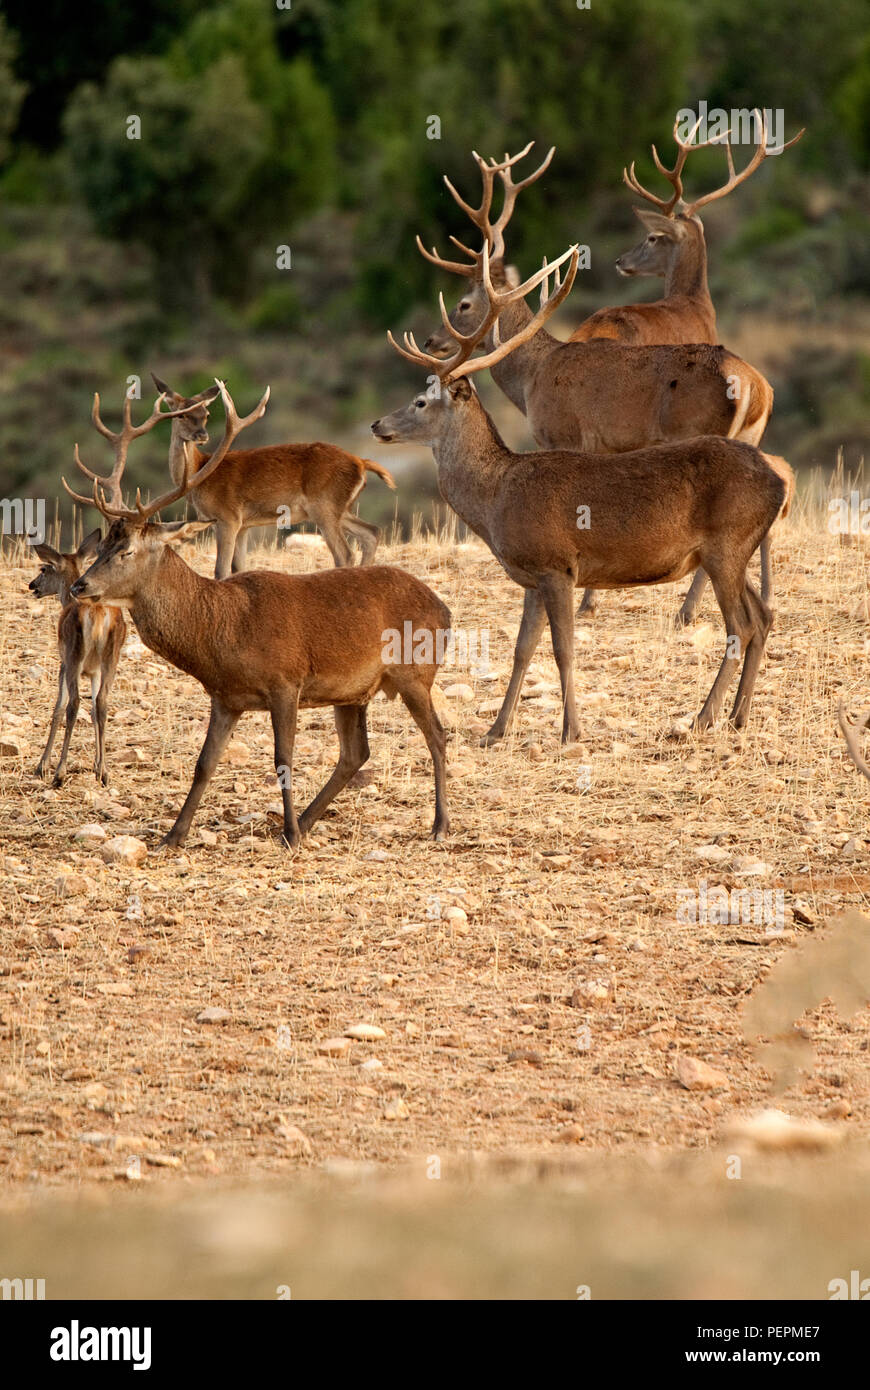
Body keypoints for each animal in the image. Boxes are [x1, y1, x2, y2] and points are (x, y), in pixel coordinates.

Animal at [149, 373, 396, 578]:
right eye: (181, 415)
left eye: (206, 414)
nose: (202, 435)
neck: (200, 473)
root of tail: (361, 463)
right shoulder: (244, 525)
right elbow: (239, 567)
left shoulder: (227, 517)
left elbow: (221, 570)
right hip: (339, 508)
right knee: (371, 533)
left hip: (324, 506)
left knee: (345, 554)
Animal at [373, 242, 786, 748]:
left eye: (421, 401)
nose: (377, 425)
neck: (496, 498)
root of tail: (778, 482)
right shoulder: (531, 576)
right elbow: (522, 650)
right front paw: (496, 730)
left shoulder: (557, 564)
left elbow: (562, 648)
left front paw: (572, 730)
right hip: (730, 550)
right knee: (762, 617)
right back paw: (738, 716)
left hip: (726, 543)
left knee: (740, 626)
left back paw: (704, 717)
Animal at [418, 142, 783, 624]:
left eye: (462, 304)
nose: (431, 340)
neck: (532, 377)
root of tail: (753, 386)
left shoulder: (561, 433)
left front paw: (588, 599)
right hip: (752, 437)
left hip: (696, 430)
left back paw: (687, 610)